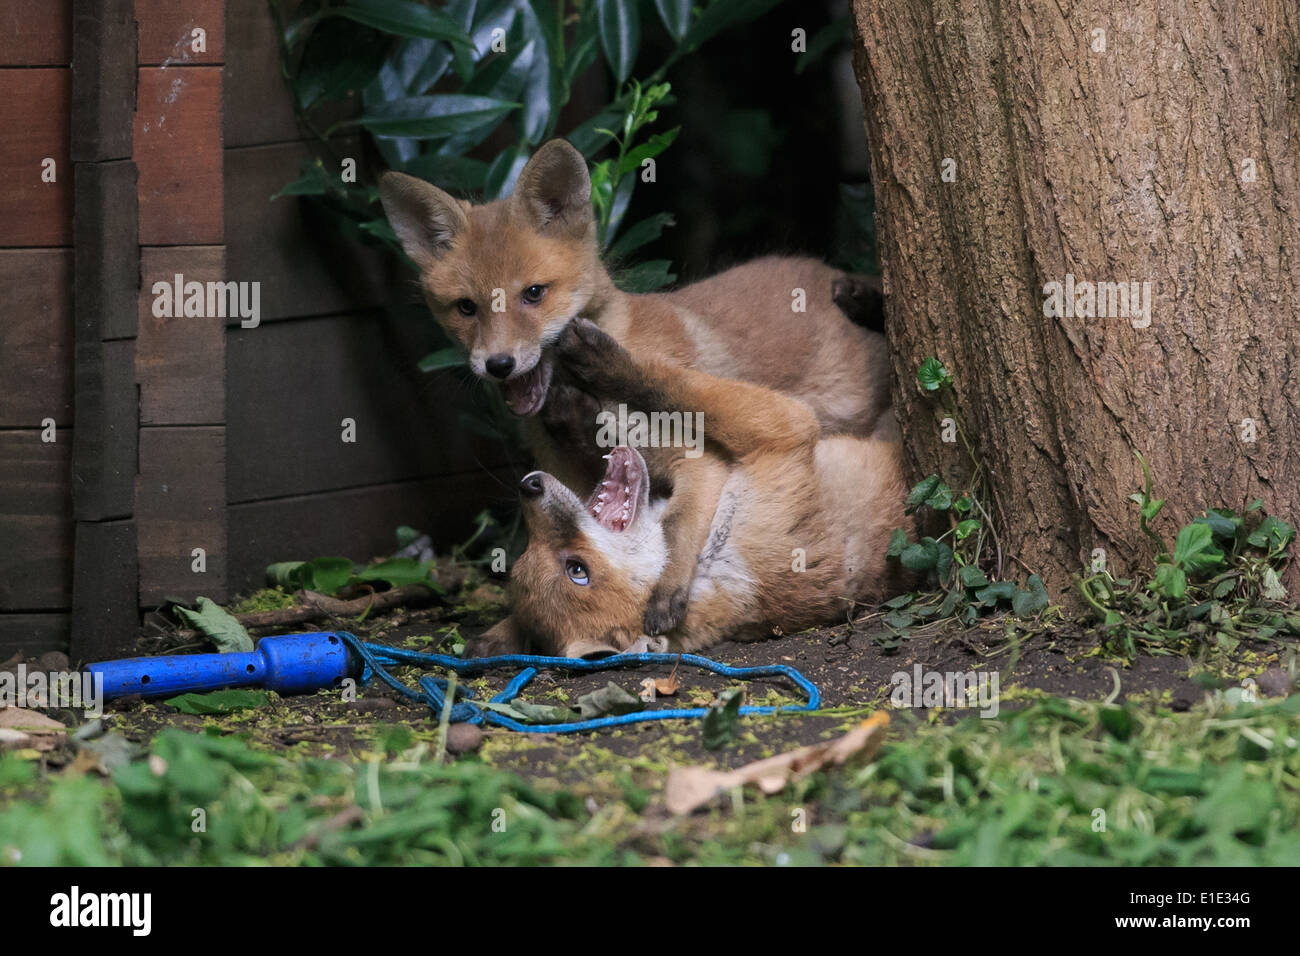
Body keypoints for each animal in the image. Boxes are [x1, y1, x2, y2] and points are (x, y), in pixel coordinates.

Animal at [379, 139, 890, 636]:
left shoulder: (700, 458)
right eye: (466, 308)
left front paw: (666, 595)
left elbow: (676, 527)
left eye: (533, 294)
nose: (498, 365)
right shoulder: (571, 480)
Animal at [470, 318, 914, 658]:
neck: (715, 561)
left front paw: (582, 400)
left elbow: (663, 406)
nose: (528, 485)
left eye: (522, 560)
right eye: (576, 570)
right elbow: (675, 388)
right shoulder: (782, 431)